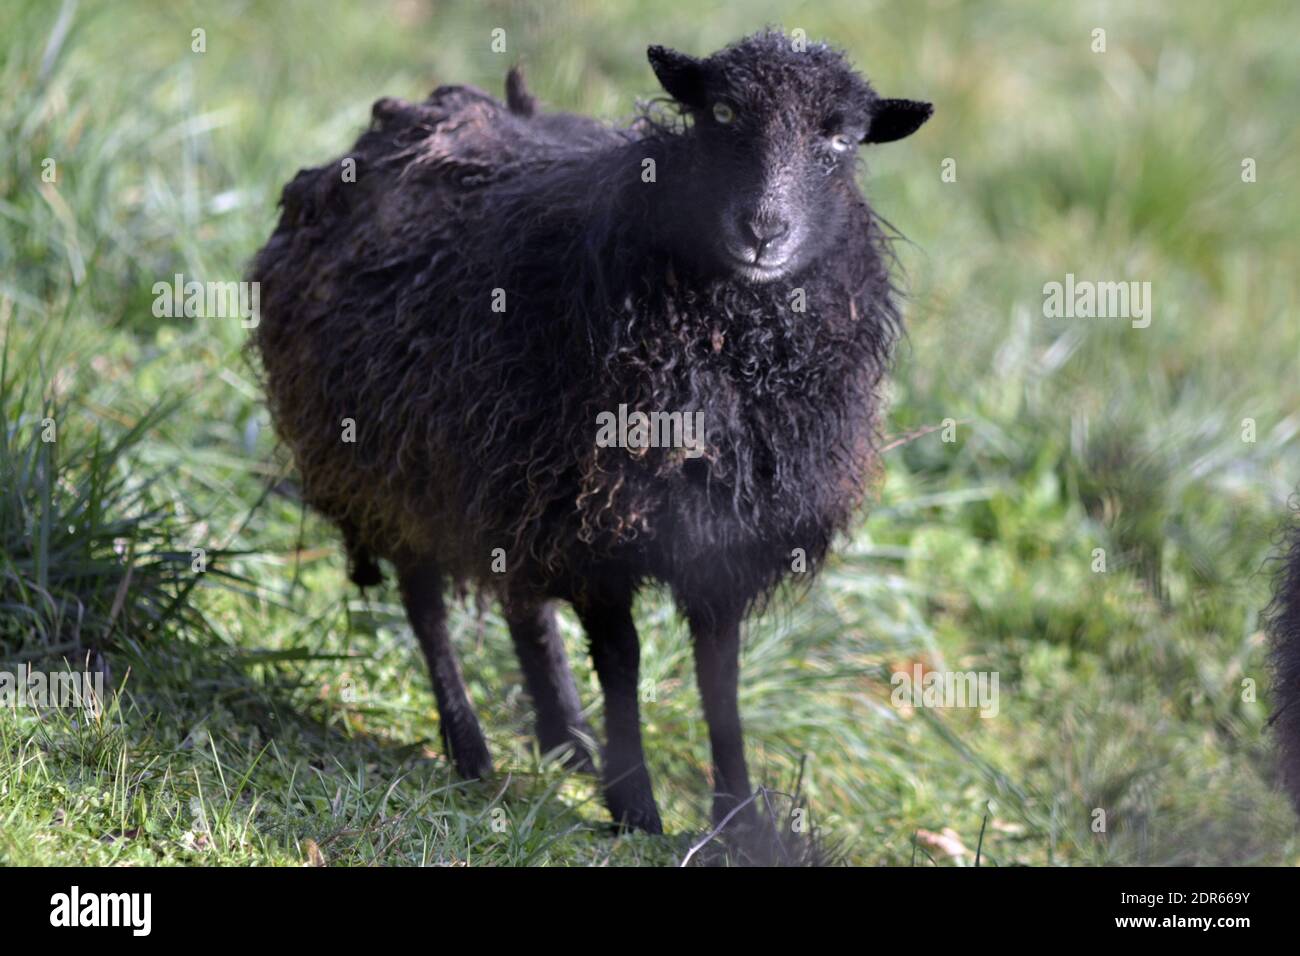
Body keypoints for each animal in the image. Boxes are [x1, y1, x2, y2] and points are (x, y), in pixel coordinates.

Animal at [249, 29, 931, 846]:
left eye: (841, 138)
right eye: (722, 112)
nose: (763, 230)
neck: (731, 343)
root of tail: (412, 114)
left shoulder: (720, 535)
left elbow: (721, 676)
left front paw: (737, 819)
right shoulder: (595, 518)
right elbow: (623, 659)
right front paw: (634, 805)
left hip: (497, 469)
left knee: (523, 604)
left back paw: (566, 738)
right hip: (396, 461)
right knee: (425, 600)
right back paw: (470, 745)